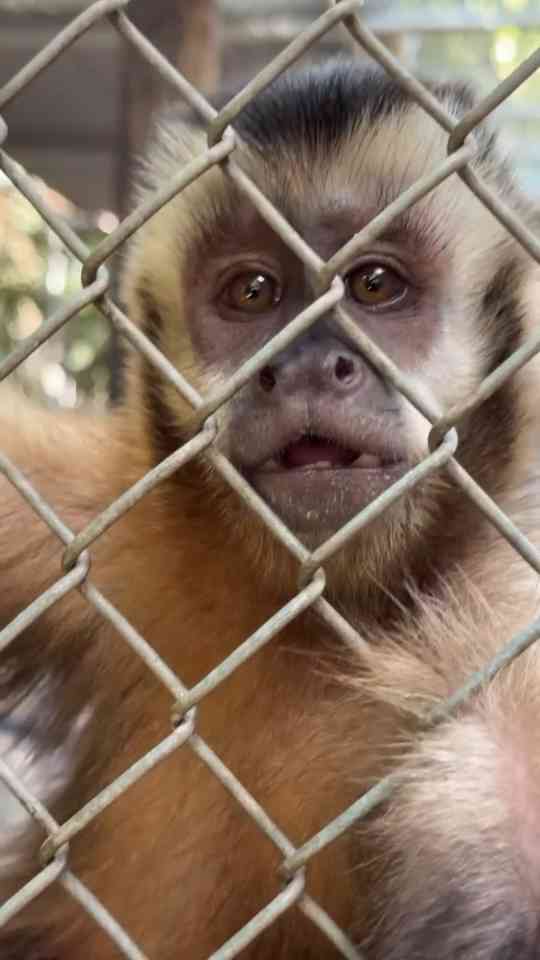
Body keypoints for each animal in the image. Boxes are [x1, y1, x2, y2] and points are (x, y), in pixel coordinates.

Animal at [1, 59, 540, 960]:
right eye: (253, 292)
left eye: (375, 285)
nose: (310, 365)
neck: (317, 607)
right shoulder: (96, 519)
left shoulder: (505, 604)